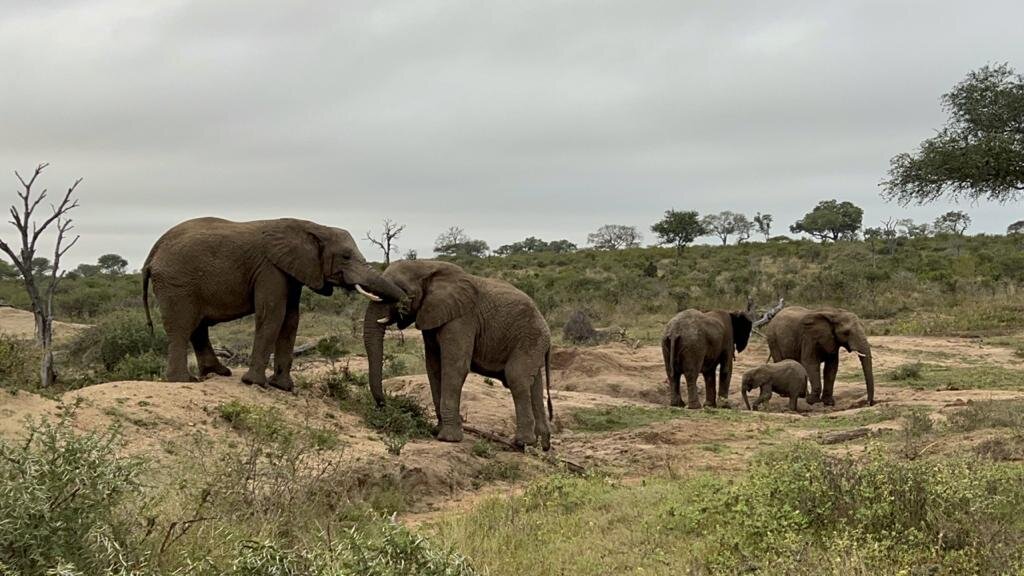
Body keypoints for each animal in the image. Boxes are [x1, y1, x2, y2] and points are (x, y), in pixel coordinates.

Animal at [142, 217, 405, 389]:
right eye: (346, 256)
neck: (312, 227)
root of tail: (153, 252)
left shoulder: (294, 271)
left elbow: (291, 319)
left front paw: (282, 387)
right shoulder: (270, 268)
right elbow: (273, 315)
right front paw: (255, 384)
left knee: (198, 328)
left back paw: (218, 373)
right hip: (177, 283)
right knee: (182, 327)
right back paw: (183, 381)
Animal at [362, 260, 553, 450]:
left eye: (404, 292)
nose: (385, 404)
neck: (428, 265)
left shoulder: (462, 318)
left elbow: (455, 366)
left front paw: (448, 438)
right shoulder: (432, 316)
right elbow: (434, 367)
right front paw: (437, 431)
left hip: (530, 338)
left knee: (516, 378)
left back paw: (522, 443)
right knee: (534, 383)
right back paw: (542, 446)